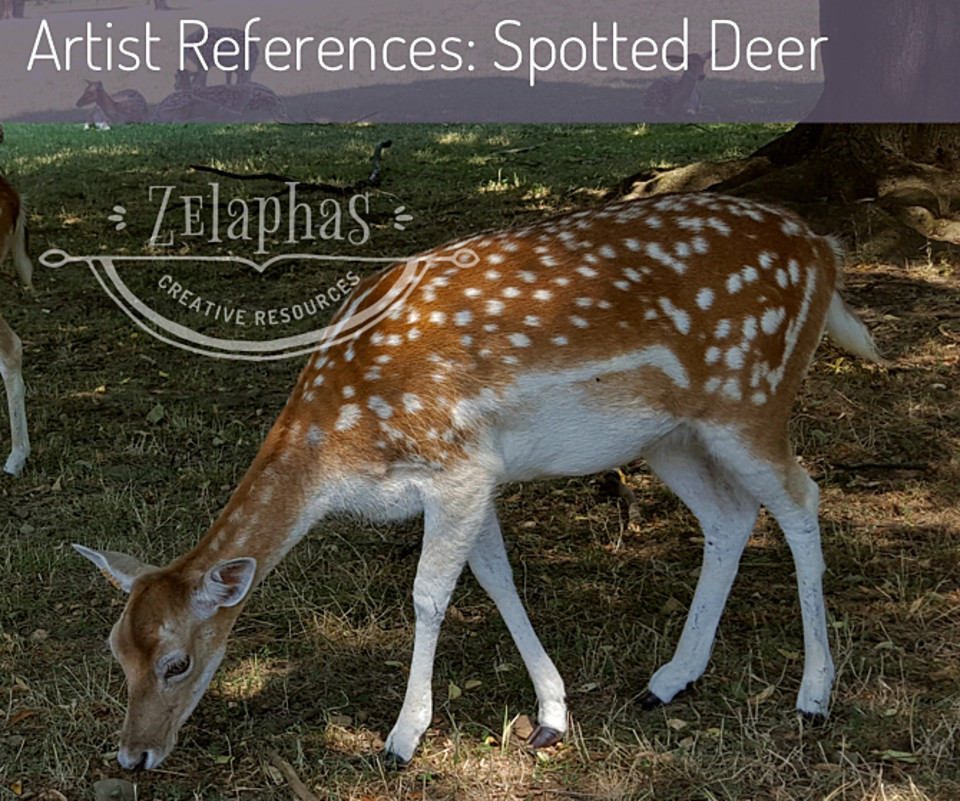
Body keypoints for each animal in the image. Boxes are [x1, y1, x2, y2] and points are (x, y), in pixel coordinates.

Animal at [76, 192, 883, 771]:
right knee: (729, 516)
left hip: (752, 397)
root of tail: (827, 252)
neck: (342, 449)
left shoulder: (456, 465)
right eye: (114, 652)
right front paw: (552, 717)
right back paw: (668, 678)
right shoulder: (477, 478)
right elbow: (496, 578)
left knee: (802, 498)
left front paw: (403, 738)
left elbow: (430, 595)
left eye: (177, 662)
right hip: (670, 435)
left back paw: (814, 693)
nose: (133, 754)